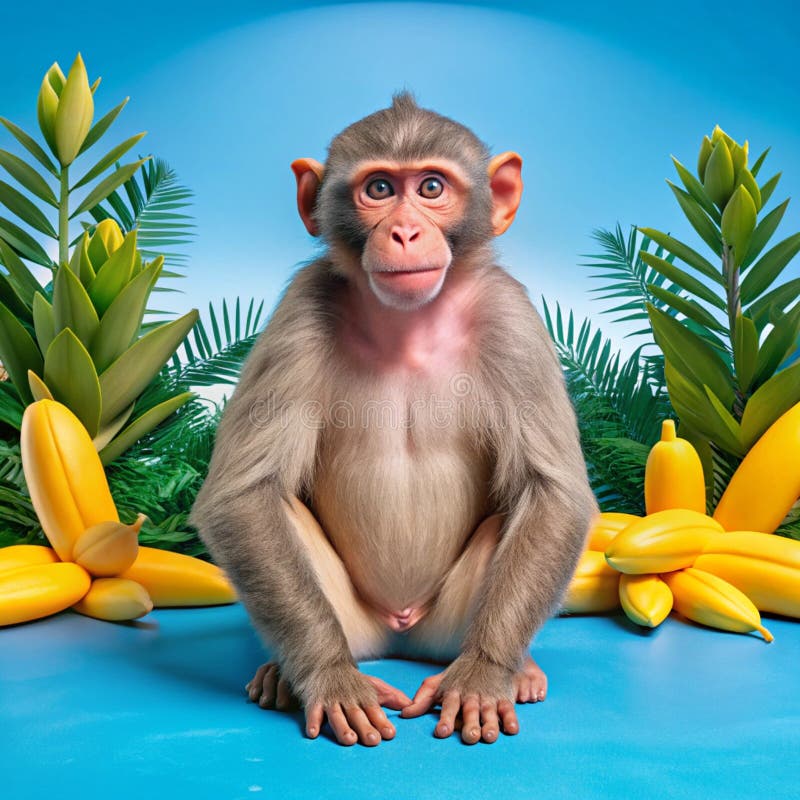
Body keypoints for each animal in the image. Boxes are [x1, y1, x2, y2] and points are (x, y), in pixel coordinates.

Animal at [189, 92, 597, 747]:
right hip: (361, 627)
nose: (405, 231)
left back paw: (512, 666)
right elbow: (242, 497)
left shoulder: (511, 318)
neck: (408, 325)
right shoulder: (301, 310)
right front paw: (330, 677)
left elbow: (552, 494)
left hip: (445, 629)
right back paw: (290, 672)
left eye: (431, 186)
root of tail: (402, 631)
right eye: (379, 188)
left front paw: (483, 676)